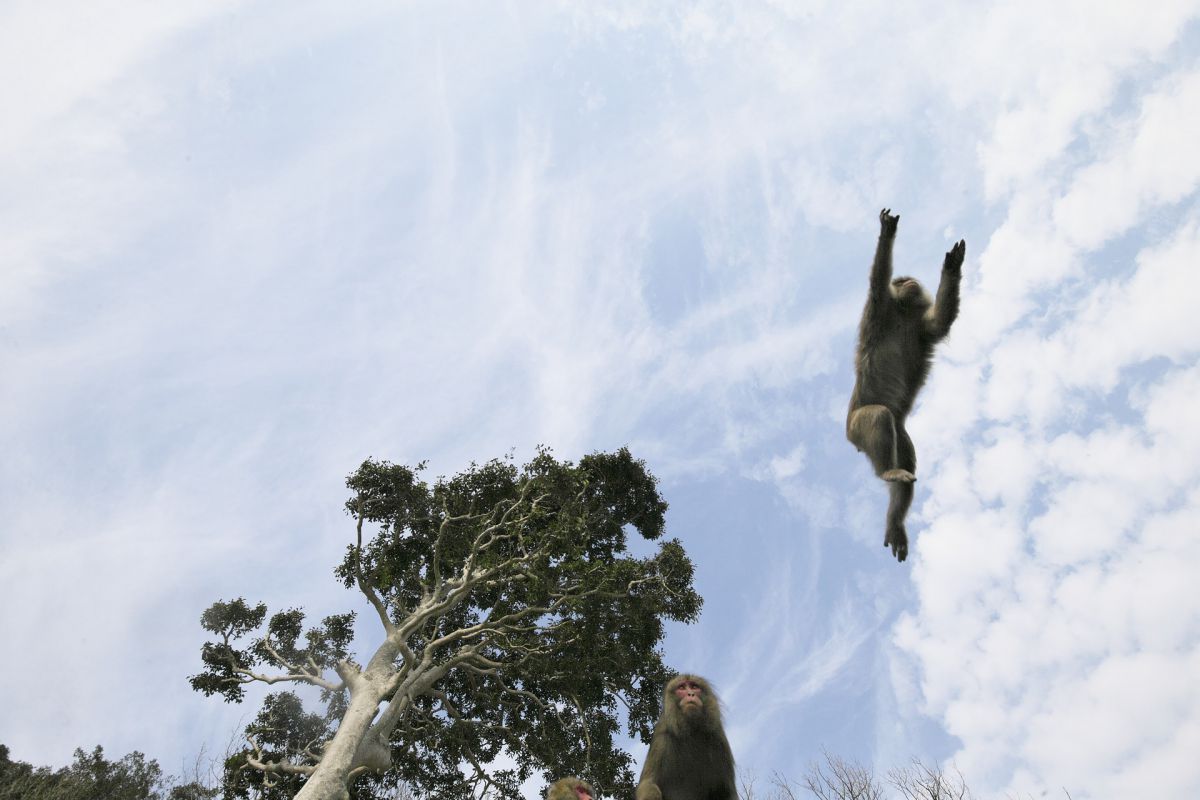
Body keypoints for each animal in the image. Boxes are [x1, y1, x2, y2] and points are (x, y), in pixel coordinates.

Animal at [847, 208, 964, 562]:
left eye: (908, 280)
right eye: (899, 282)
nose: (908, 282)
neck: (901, 311)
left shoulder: (920, 325)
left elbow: (940, 322)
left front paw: (952, 268)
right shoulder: (877, 307)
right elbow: (877, 277)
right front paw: (887, 233)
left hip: (900, 435)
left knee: (906, 460)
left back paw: (895, 520)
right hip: (856, 427)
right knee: (879, 416)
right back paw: (888, 472)